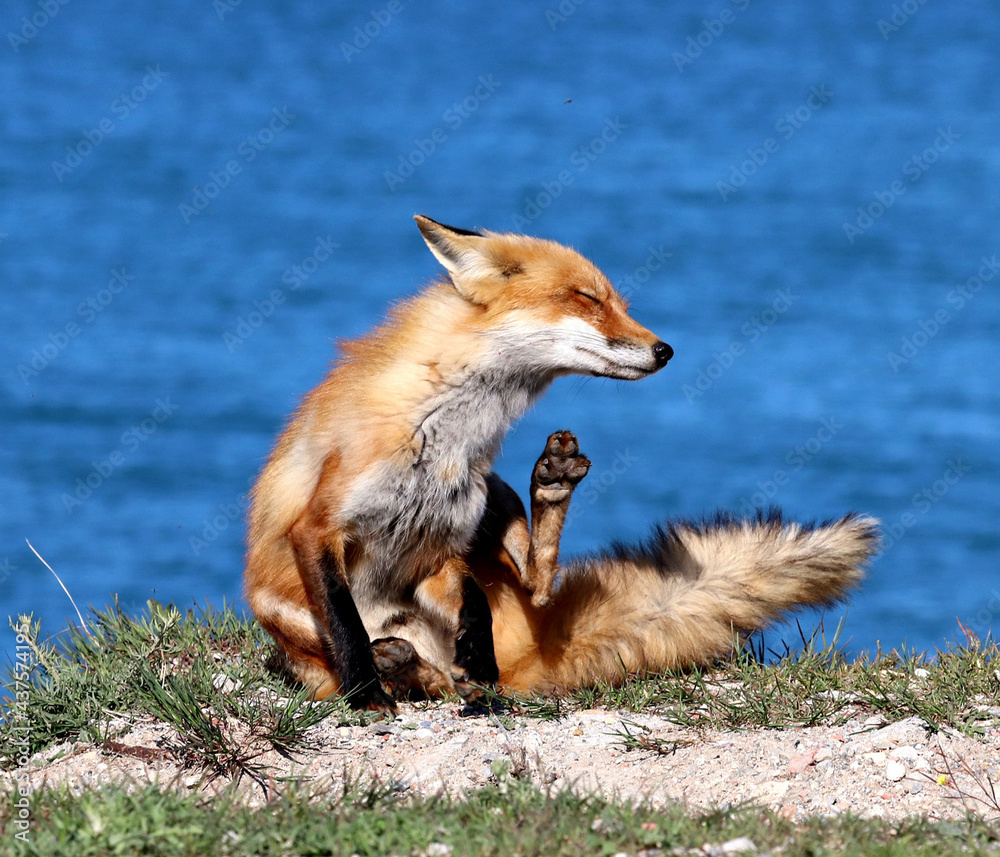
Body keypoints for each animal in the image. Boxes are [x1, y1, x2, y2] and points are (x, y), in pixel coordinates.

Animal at [245, 215, 879, 710]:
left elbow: (475, 603)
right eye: (587, 298)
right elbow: (346, 626)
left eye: (620, 302)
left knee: (533, 591)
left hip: (494, 499)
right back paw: (397, 671)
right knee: (375, 663)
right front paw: (366, 696)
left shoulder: (440, 544)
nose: (665, 350)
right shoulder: (319, 528)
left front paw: (477, 666)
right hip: (281, 615)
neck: (444, 434)